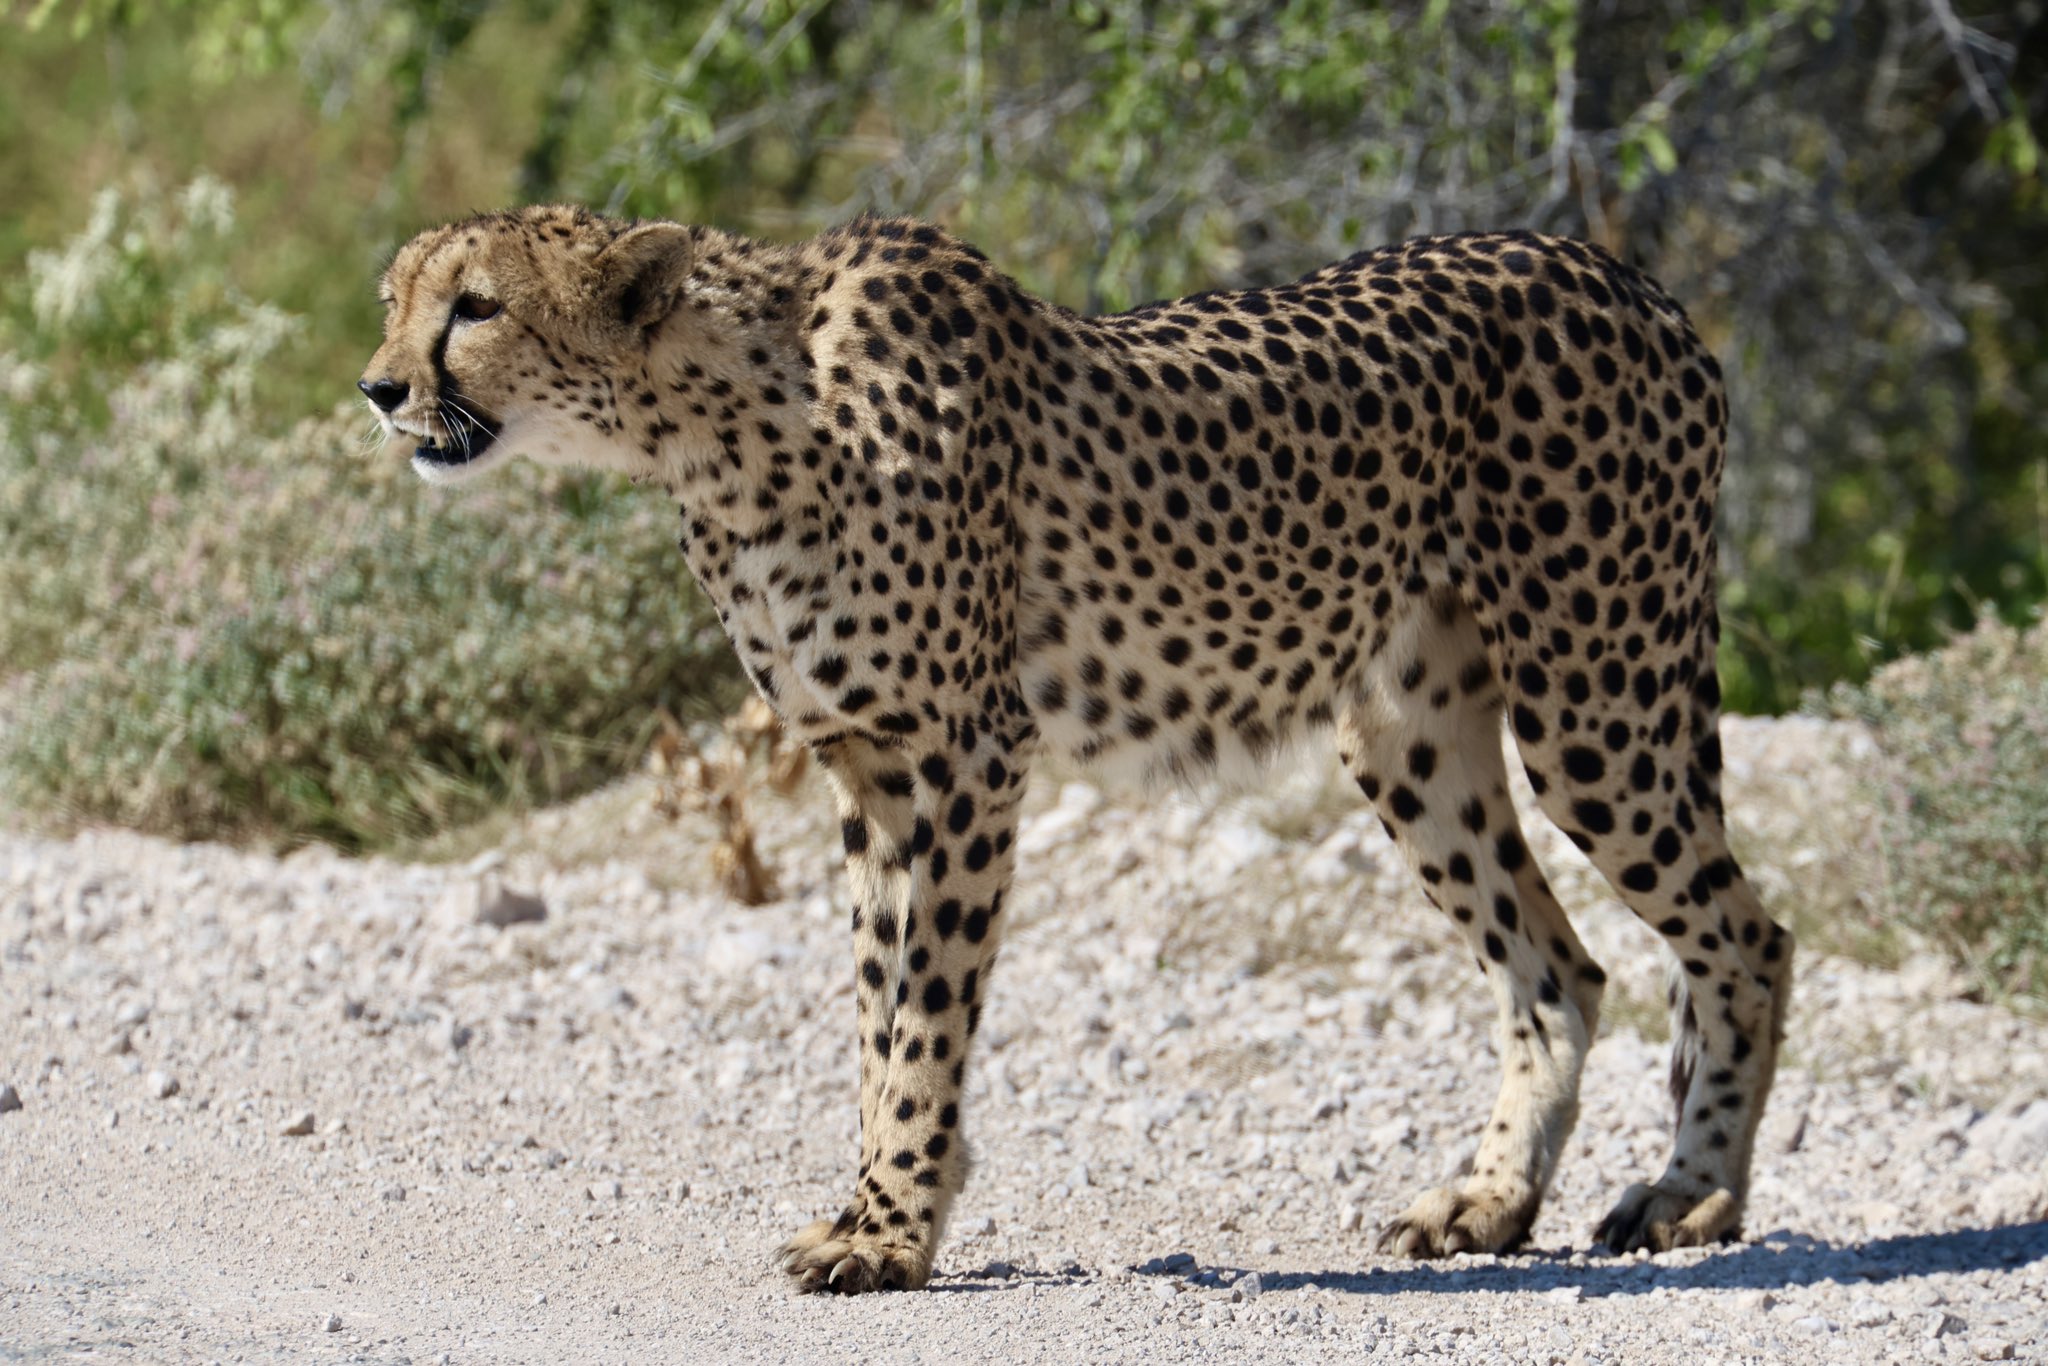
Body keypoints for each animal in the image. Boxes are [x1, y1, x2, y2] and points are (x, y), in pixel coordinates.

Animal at [362, 203, 1794, 1294]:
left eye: (475, 307)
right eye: (393, 299)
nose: (378, 387)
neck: (727, 423)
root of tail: (1623, 277)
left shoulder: (963, 753)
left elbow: (925, 1011)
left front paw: (894, 1229)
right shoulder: (863, 764)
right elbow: (877, 1010)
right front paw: (883, 1203)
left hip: (1593, 700)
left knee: (1744, 934)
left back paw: (1692, 1194)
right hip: (1409, 733)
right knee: (1558, 968)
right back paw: (1487, 1202)